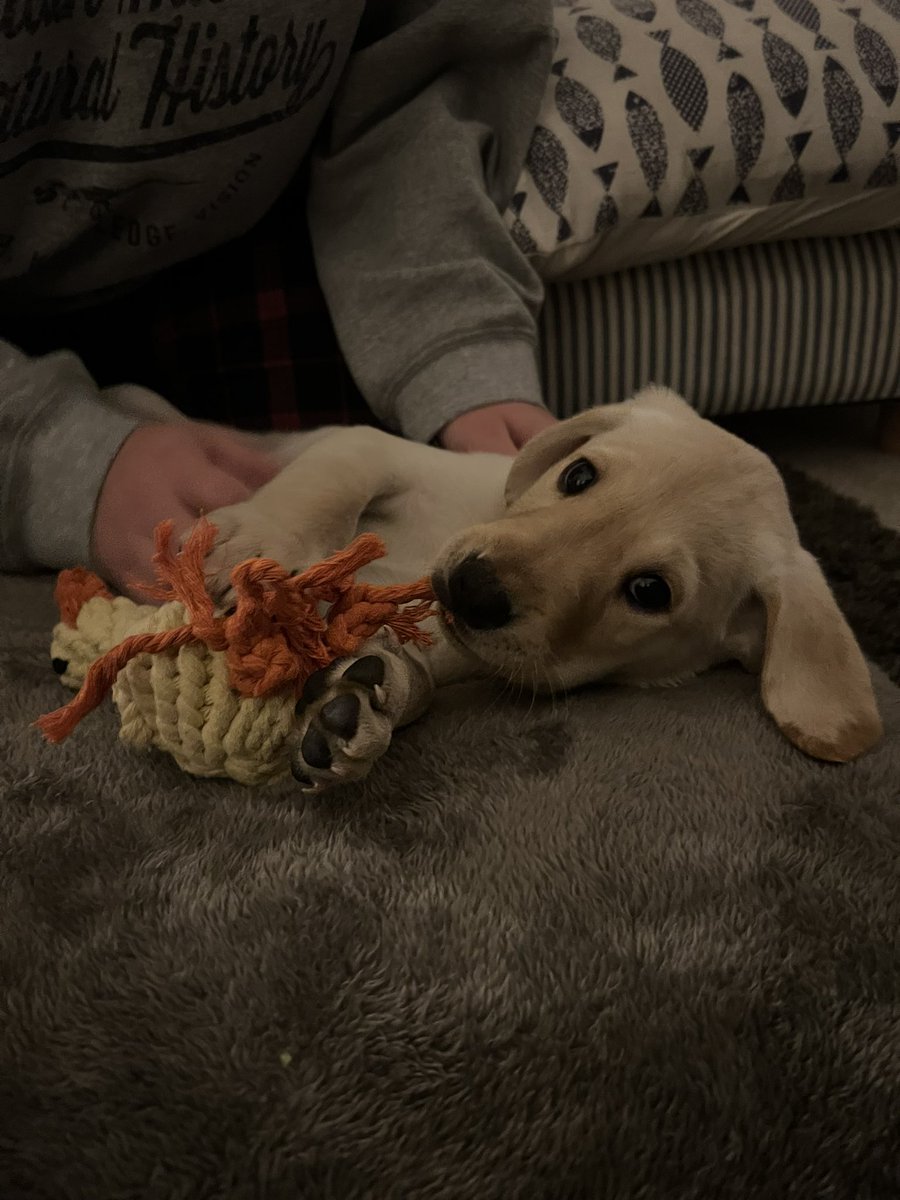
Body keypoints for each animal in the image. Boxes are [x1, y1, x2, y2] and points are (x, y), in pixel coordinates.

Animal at [109, 384, 883, 788]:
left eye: (650, 591)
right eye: (578, 475)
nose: (470, 589)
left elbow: (412, 666)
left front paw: (360, 703)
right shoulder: (379, 450)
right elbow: (340, 467)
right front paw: (256, 542)